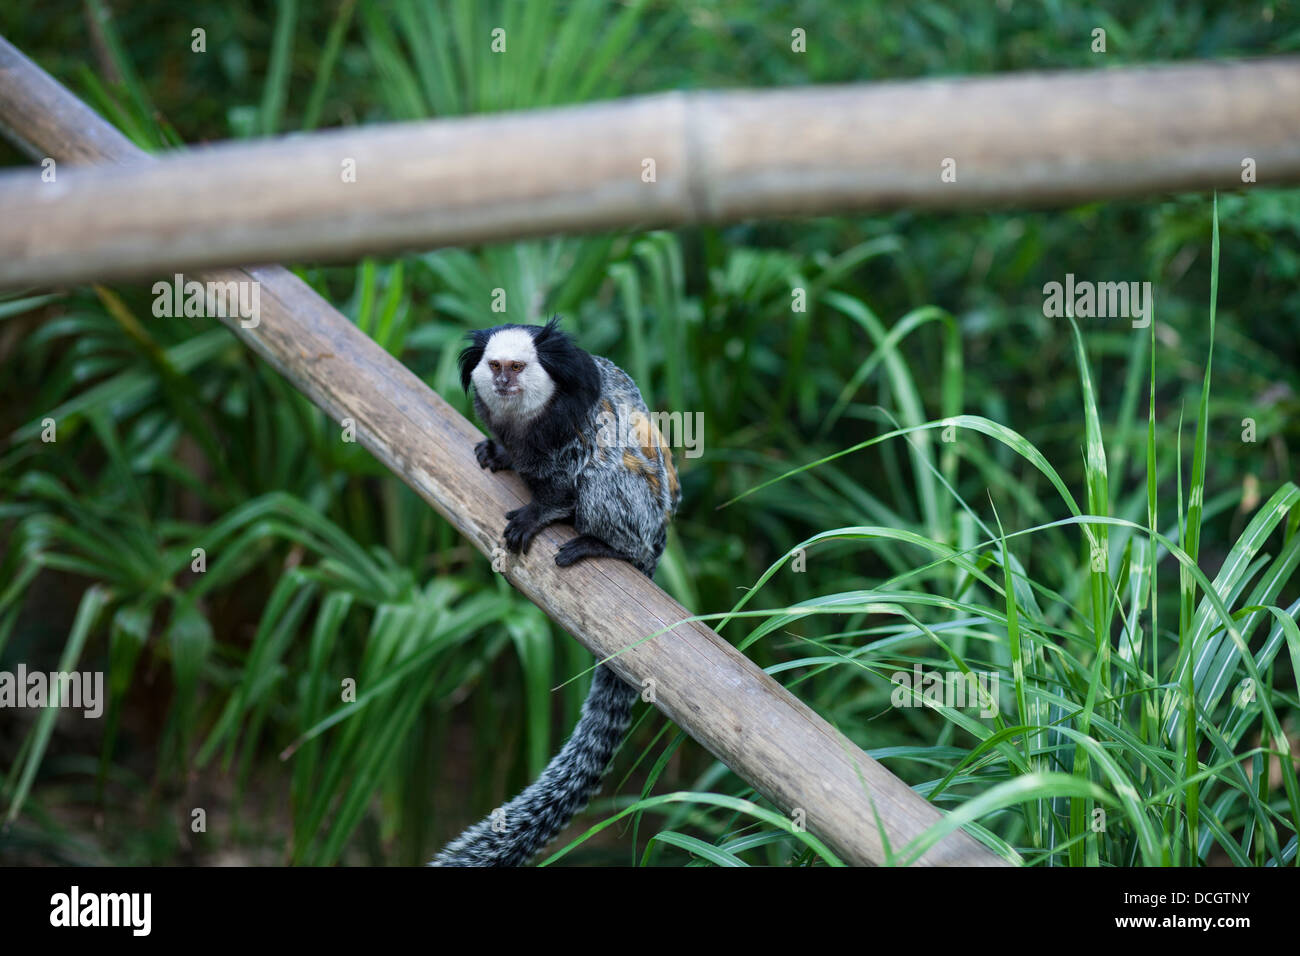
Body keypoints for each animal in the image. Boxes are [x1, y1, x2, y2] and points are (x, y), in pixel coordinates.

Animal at [431, 316, 680, 866]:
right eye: (495, 366)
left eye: (517, 366)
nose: (504, 381)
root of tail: (658, 543)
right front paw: (502, 452)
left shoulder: (578, 432)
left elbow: (576, 476)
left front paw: (542, 512)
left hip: (641, 517)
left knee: (611, 474)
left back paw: (606, 546)